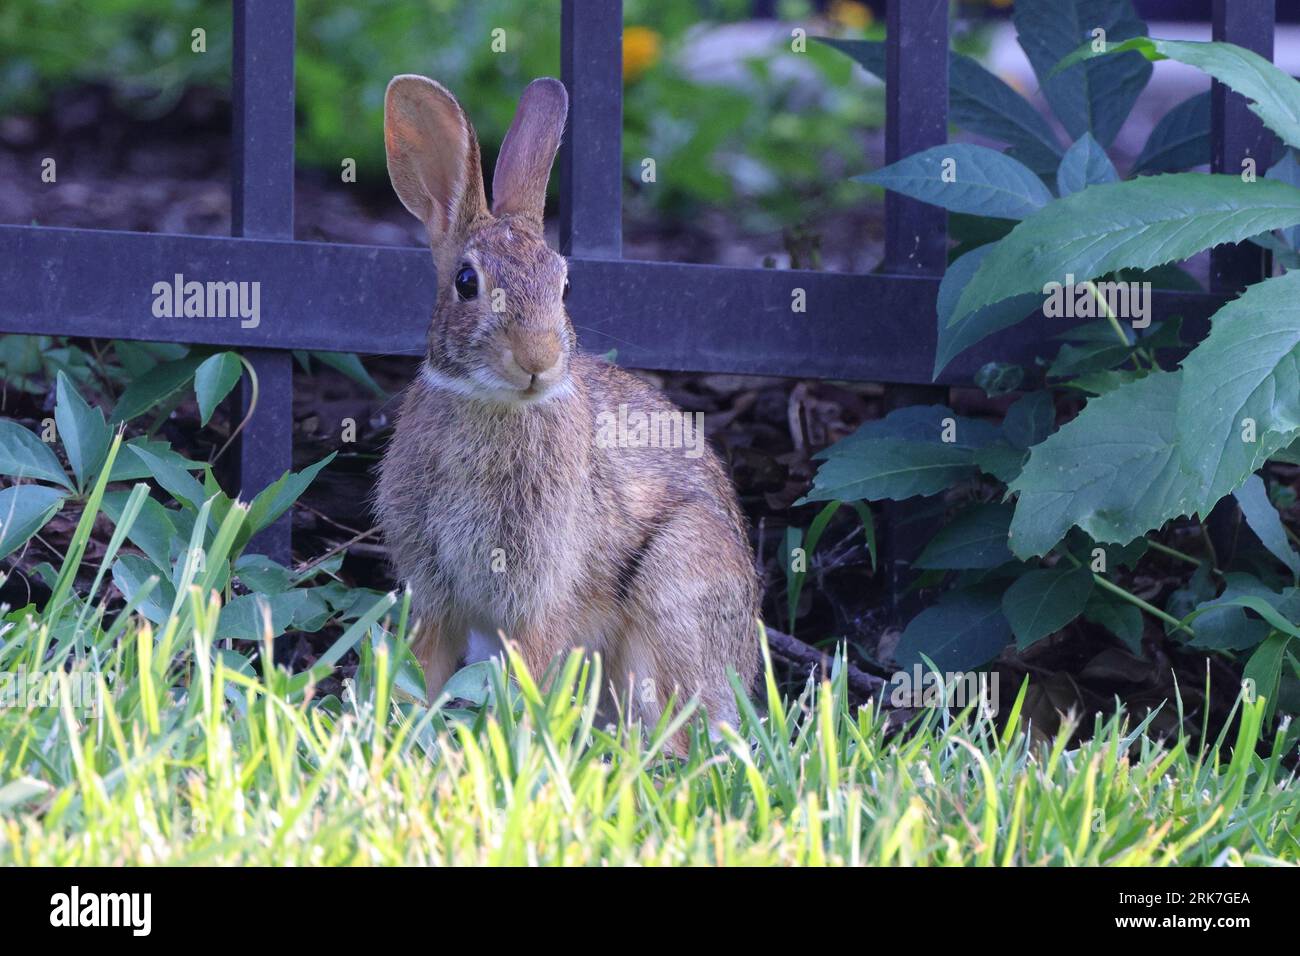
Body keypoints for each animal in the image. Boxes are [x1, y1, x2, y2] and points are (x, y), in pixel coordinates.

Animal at [375, 74, 761, 745]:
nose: (539, 357)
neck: (494, 404)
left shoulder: (541, 594)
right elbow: (423, 667)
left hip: (675, 585)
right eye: (467, 283)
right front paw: (403, 725)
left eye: (564, 287)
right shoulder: (437, 592)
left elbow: (531, 666)